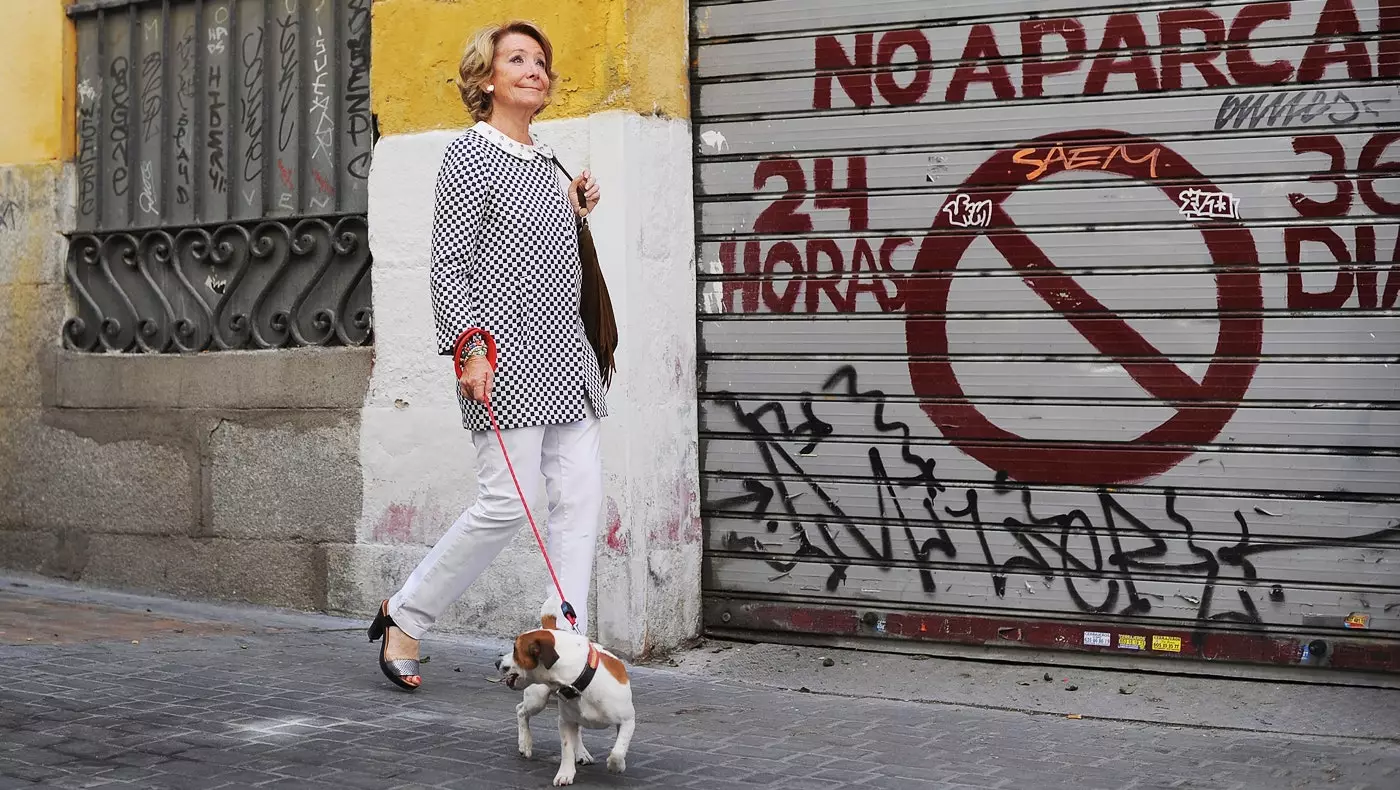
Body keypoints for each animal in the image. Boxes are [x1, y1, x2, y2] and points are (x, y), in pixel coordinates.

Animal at [495, 610, 638, 784]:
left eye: (515, 650)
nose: (497, 662)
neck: (581, 678)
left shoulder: (627, 721)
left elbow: (618, 751)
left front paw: (616, 765)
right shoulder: (565, 722)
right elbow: (567, 749)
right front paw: (565, 773)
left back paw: (582, 753)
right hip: (537, 699)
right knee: (521, 710)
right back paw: (525, 743)